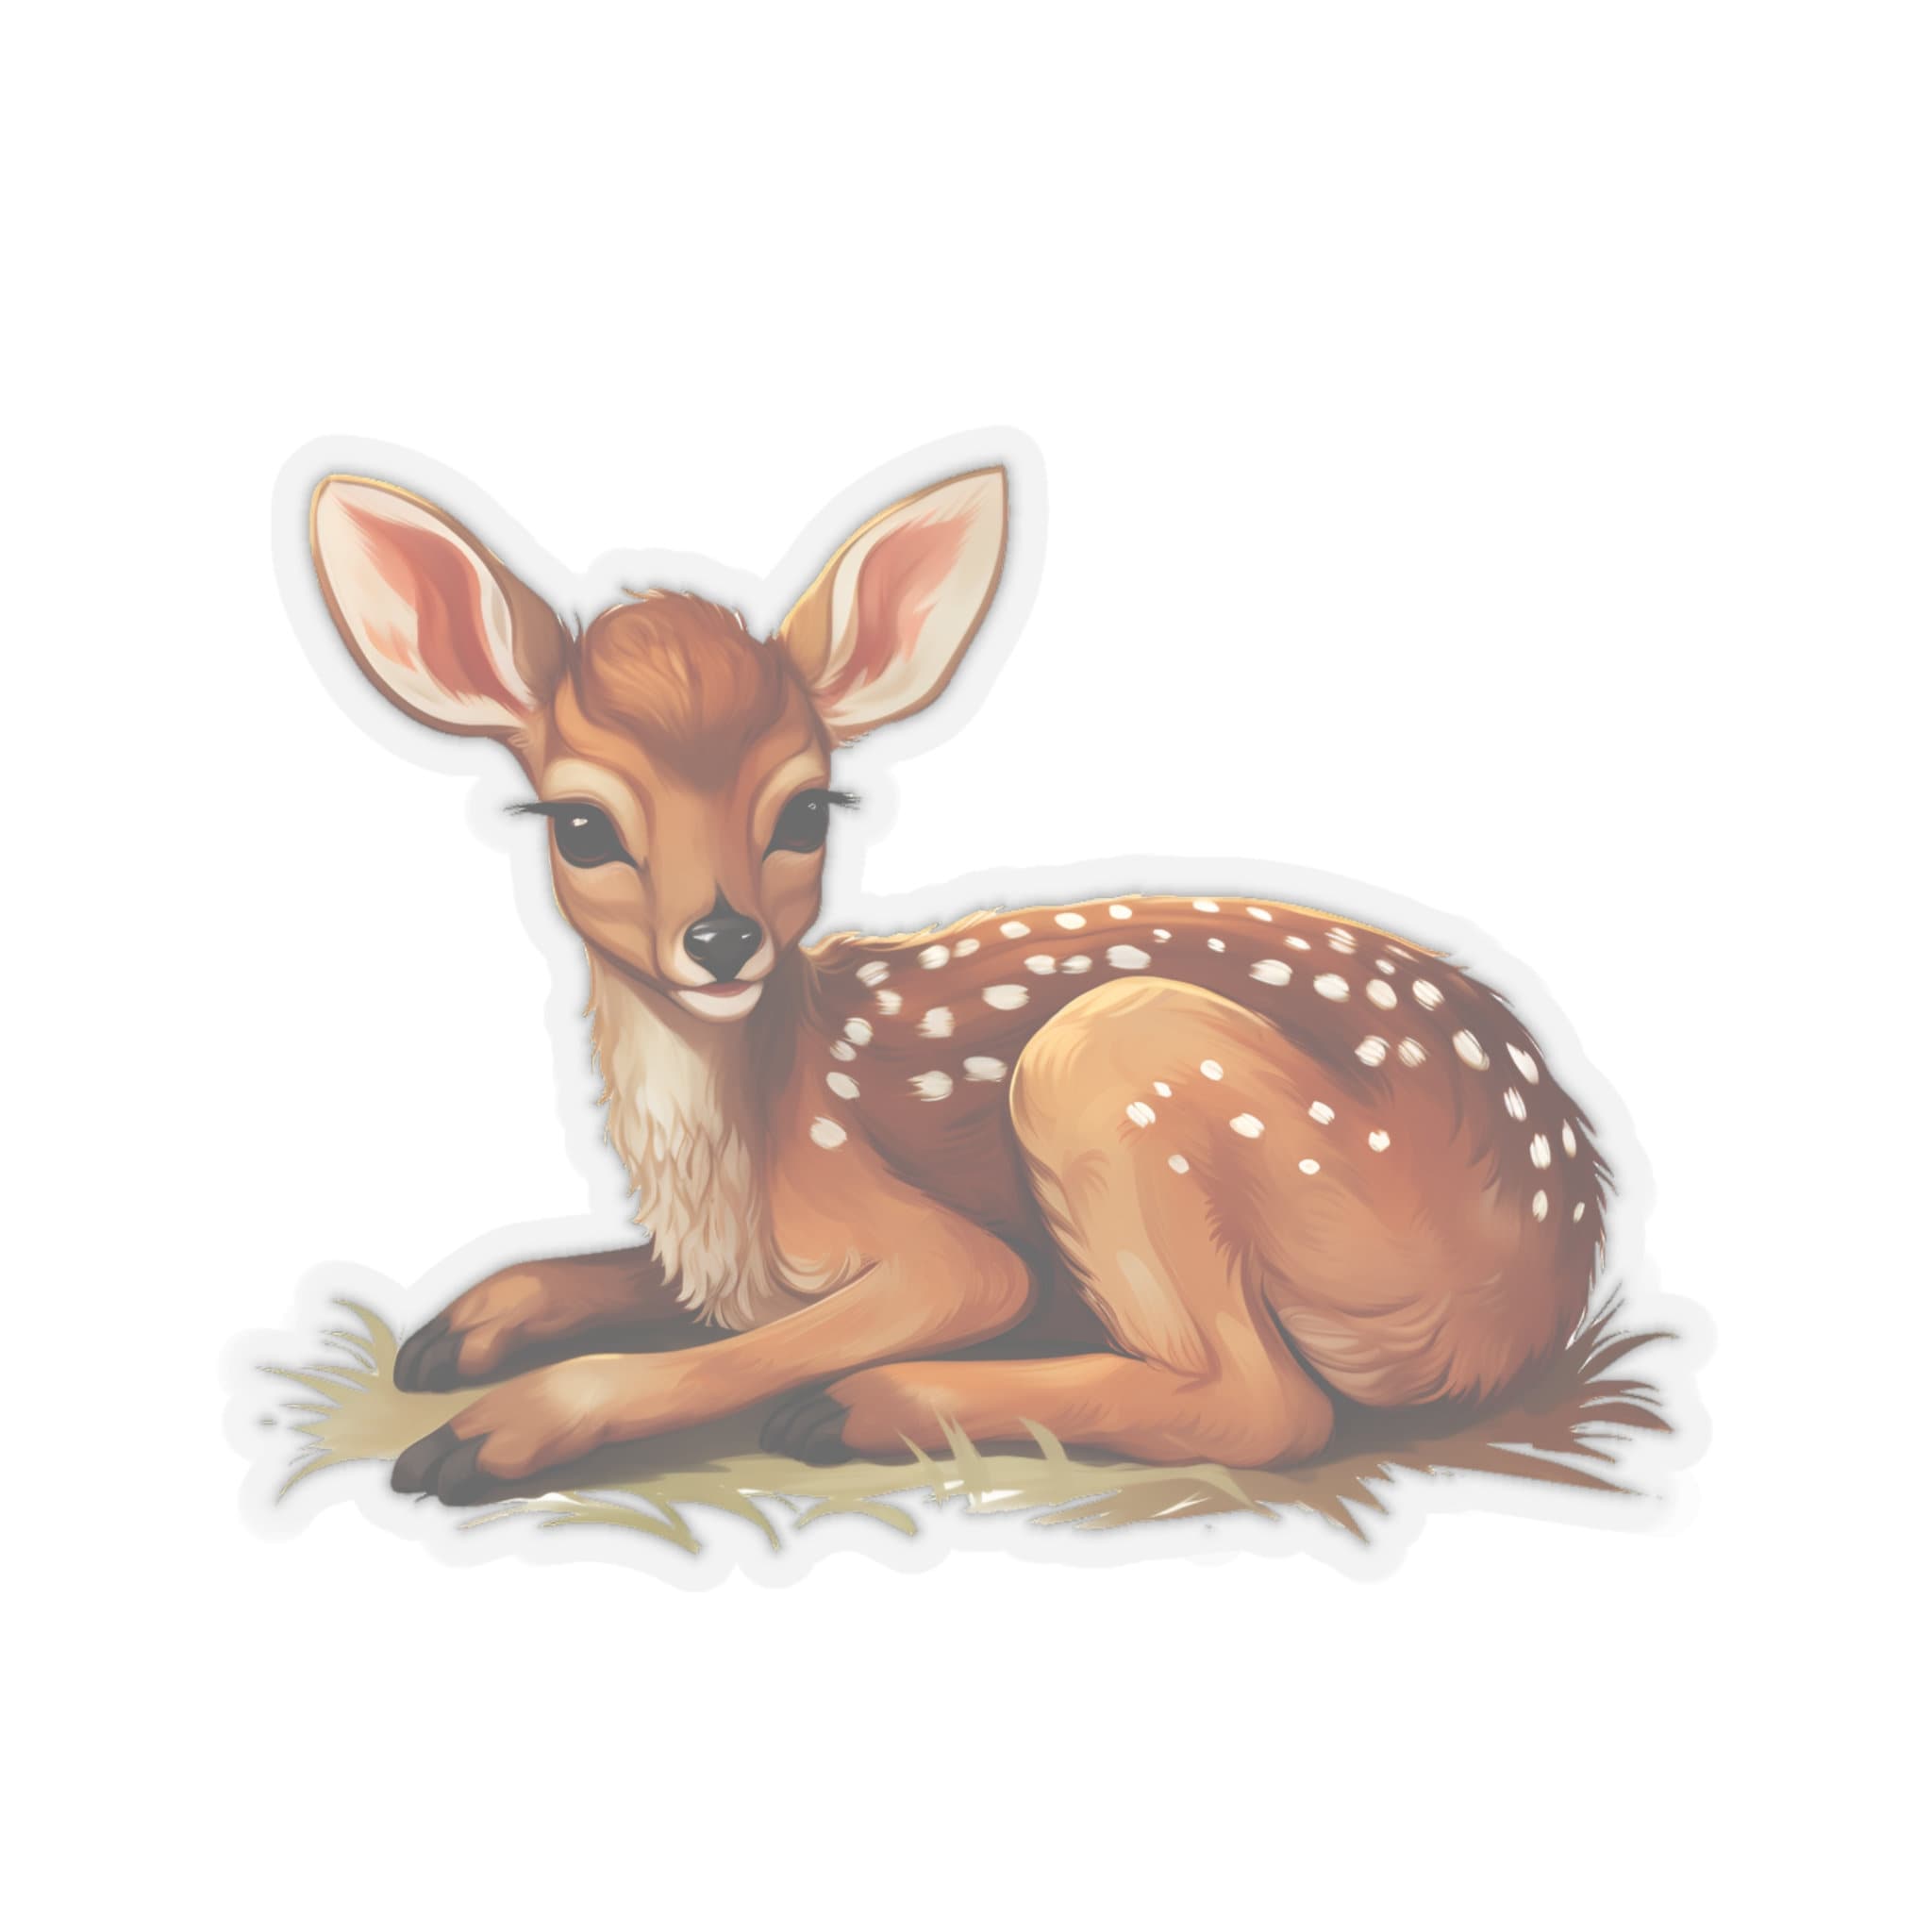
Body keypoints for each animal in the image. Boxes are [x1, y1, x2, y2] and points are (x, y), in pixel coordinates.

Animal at [305, 460, 1609, 1505]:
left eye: (806, 810)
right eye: (578, 825)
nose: (721, 938)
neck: (741, 1154)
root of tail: (1536, 1277)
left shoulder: (941, 1250)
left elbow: (895, 1300)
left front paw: (489, 1434)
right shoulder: (723, 1265)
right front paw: (460, 1324)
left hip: (1116, 1069)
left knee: (1266, 1405)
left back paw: (865, 1404)